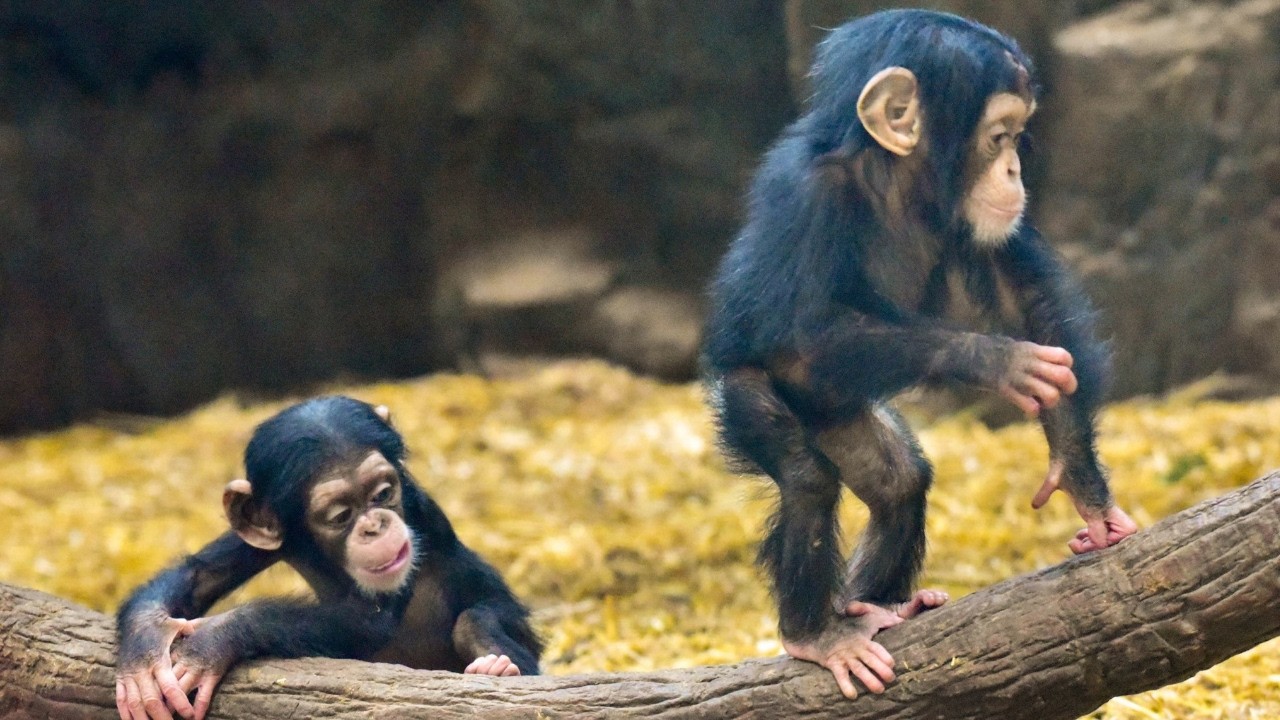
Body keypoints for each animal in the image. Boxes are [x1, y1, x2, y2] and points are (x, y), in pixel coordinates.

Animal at [115, 396, 542, 720]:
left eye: (383, 493)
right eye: (340, 515)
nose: (375, 525)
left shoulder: (417, 510)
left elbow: (371, 620)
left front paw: (215, 638)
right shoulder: (269, 529)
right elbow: (201, 572)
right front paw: (145, 645)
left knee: (474, 621)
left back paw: (496, 666)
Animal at [701, 10, 1137, 699]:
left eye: (1018, 138)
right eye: (999, 136)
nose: (1014, 173)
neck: (895, 180)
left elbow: (1027, 299)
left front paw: (1083, 486)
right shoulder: (810, 199)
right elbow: (797, 338)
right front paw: (998, 362)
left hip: (845, 416)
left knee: (900, 482)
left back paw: (880, 608)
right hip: (745, 391)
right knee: (806, 478)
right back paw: (817, 634)